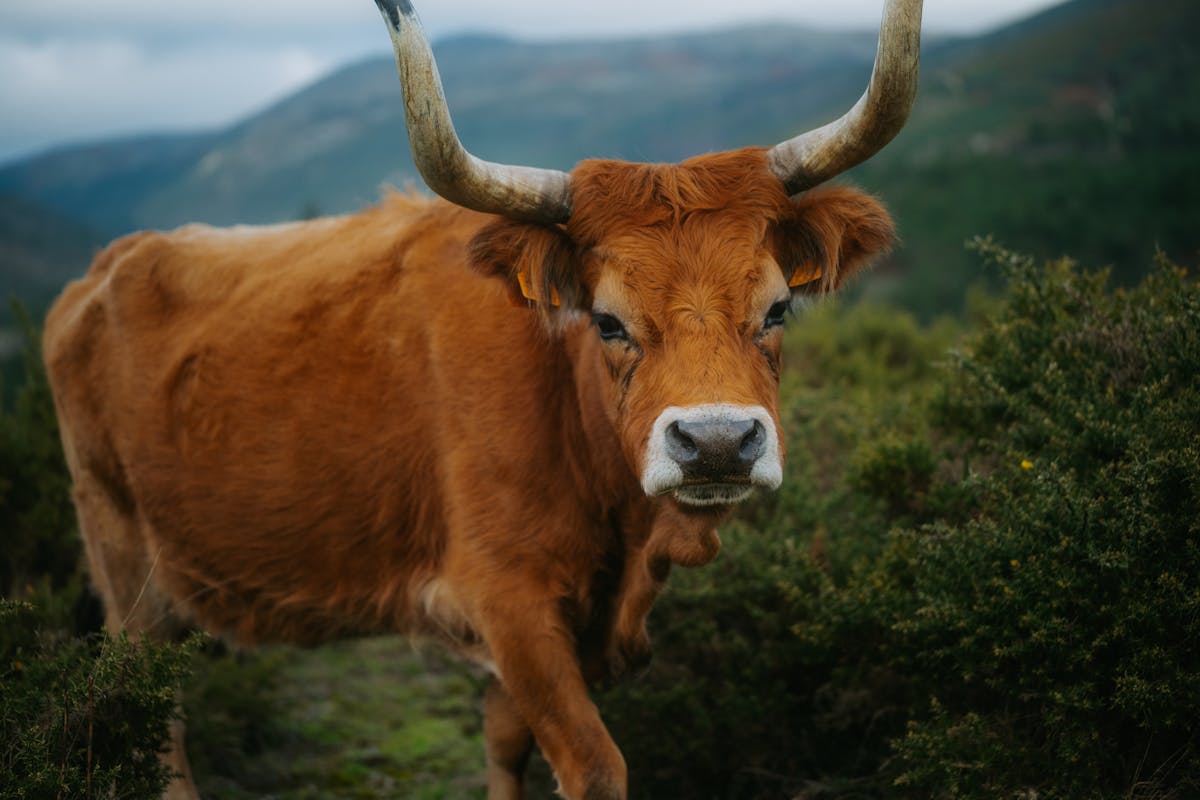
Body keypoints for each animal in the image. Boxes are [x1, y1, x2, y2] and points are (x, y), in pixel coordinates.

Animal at [42, 0, 923, 798]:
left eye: (777, 309)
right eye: (608, 320)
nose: (714, 443)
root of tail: (105, 270)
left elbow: (507, 745)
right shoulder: (505, 593)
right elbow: (592, 764)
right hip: (123, 565)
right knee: (157, 727)